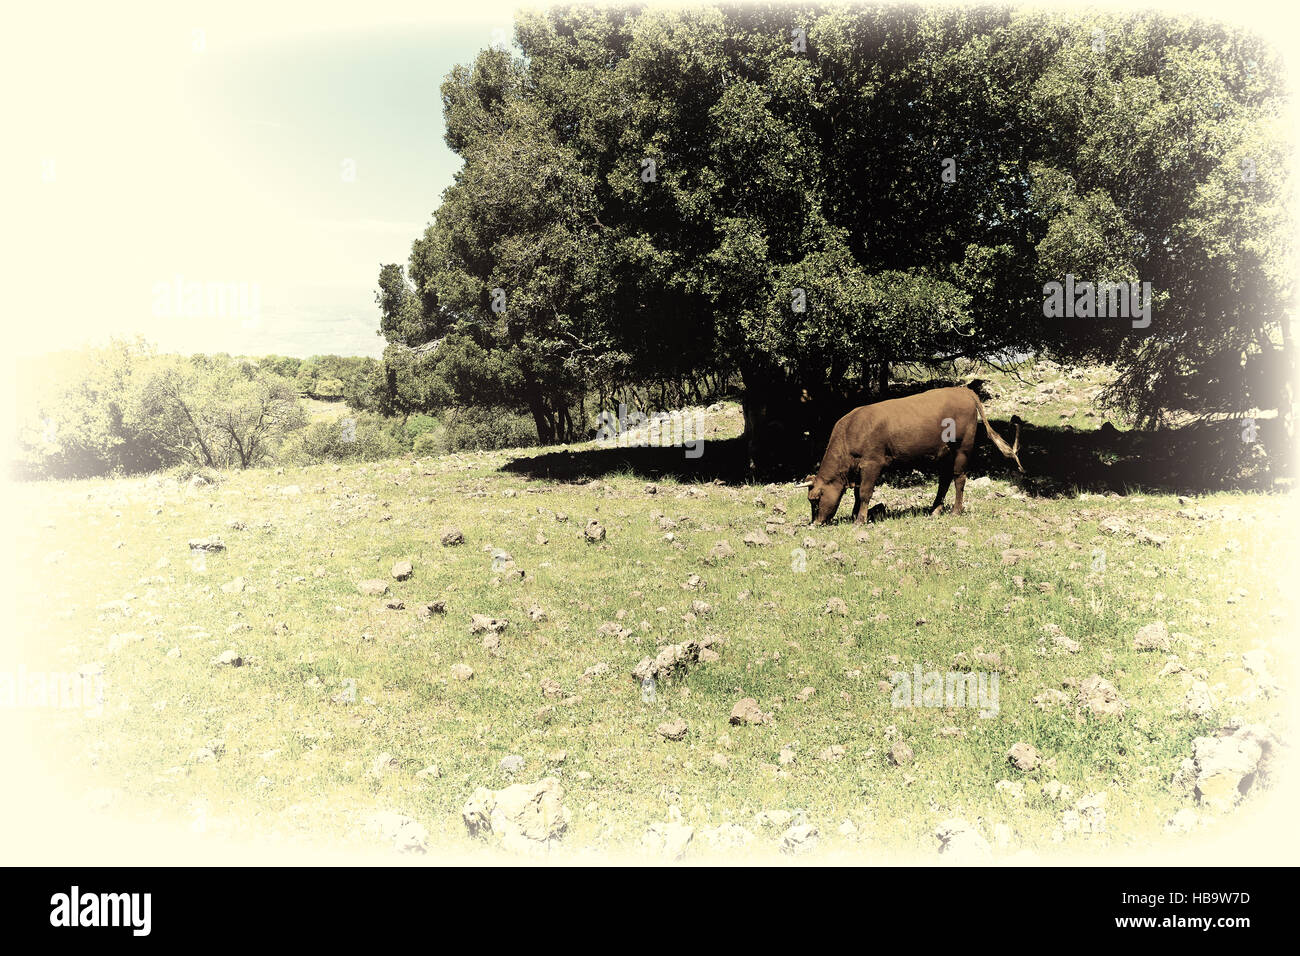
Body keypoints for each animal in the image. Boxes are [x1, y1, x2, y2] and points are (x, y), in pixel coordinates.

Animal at [801, 386, 1023, 525]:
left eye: (815, 498)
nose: (816, 523)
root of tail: (962, 390)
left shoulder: (872, 463)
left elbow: (864, 492)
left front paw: (860, 520)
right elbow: (857, 493)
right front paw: (855, 514)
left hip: (962, 448)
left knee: (959, 478)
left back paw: (955, 511)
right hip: (945, 453)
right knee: (944, 480)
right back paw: (935, 510)